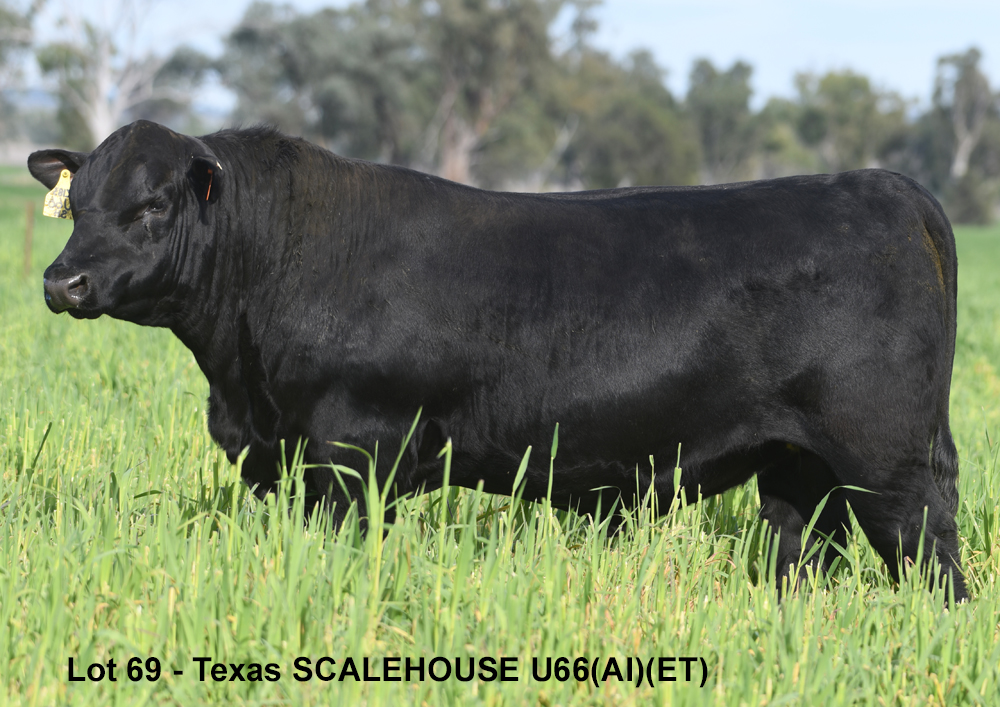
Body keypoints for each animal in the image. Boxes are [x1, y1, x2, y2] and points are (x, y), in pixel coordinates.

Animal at [29, 120, 966, 601]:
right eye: (78, 203)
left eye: (153, 205)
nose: (61, 279)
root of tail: (882, 182)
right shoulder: (282, 457)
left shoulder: (357, 449)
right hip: (798, 461)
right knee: (800, 549)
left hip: (887, 457)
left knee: (932, 554)